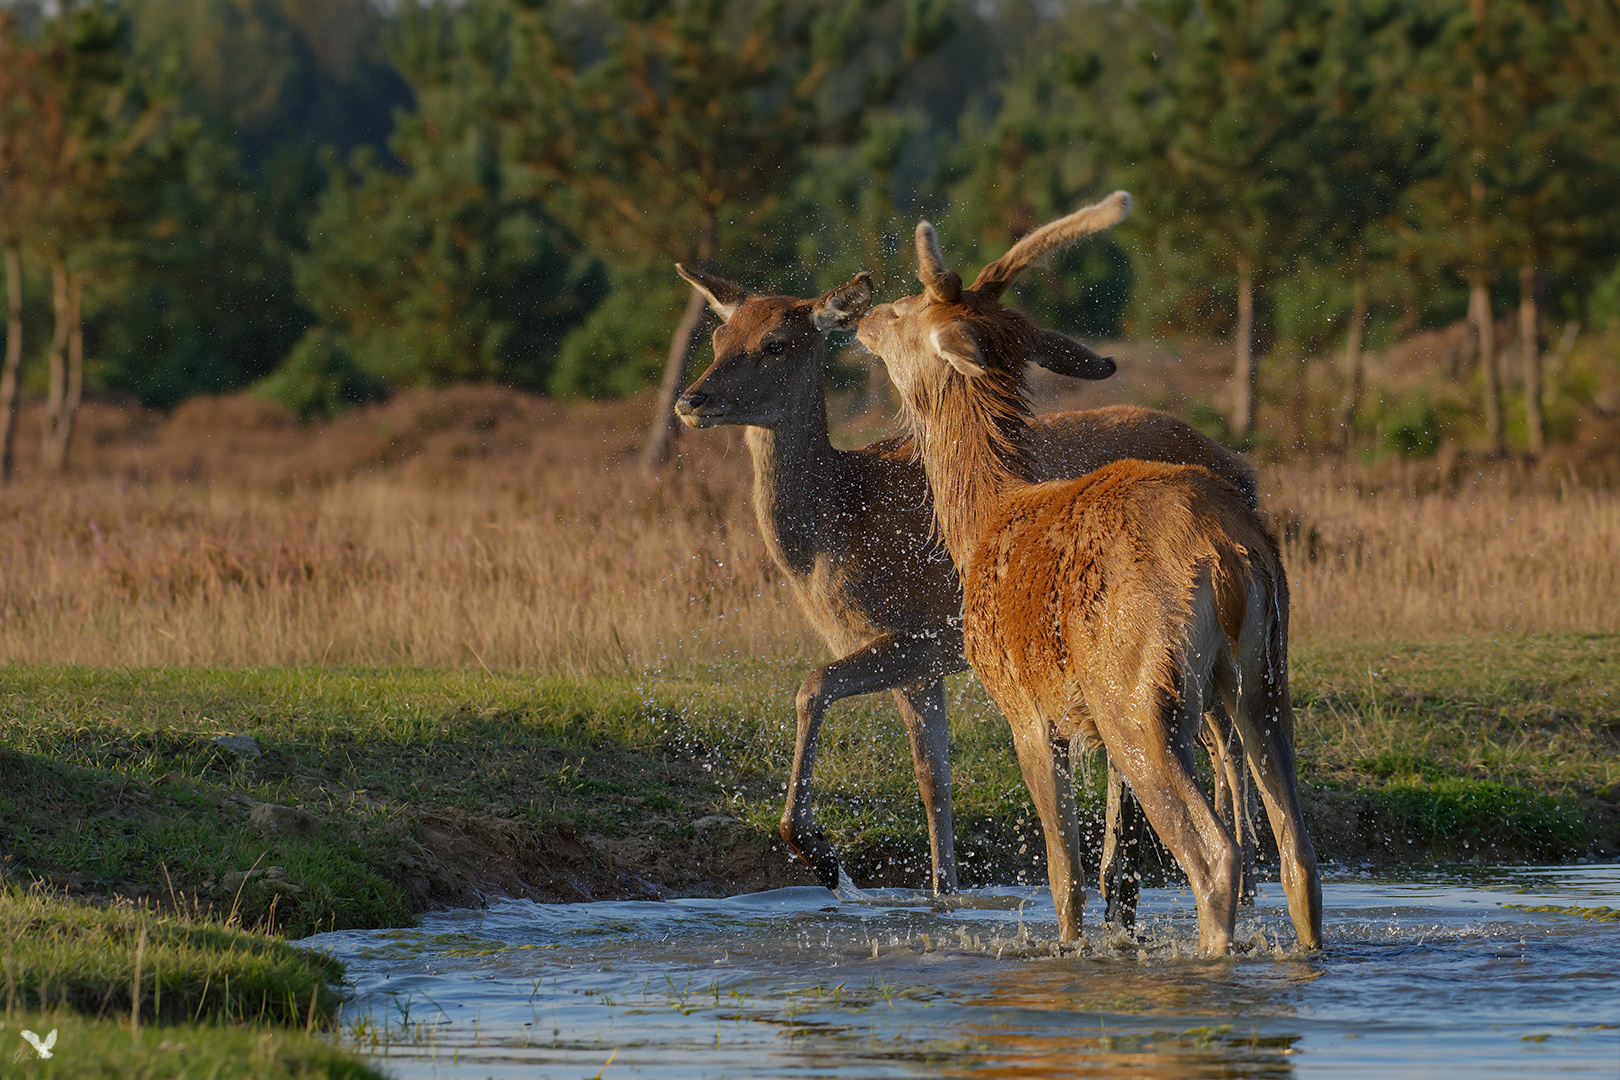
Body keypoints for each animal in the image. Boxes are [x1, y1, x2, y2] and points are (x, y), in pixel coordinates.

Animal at [670, 263, 1263, 919]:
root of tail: (1242, 470)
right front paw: (942, 896)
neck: (836, 533)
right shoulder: (915, 667)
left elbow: (812, 686)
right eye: (718, 339)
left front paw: (823, 856)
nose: (690, 400)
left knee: (1225, 741)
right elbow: (933, 777)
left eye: (776, 343)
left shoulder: (926, 632)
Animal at [855, 190, 1321, 952]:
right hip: (1266, 676)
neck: (977, 527)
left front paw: (1066, 952)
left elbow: (1064, 874)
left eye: (902, 312)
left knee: (1215, 854)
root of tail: (1228, 555)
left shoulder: (1025, 705)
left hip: (1139, 690)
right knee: (1298, 853)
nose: (861, 312)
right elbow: (1118, 875)